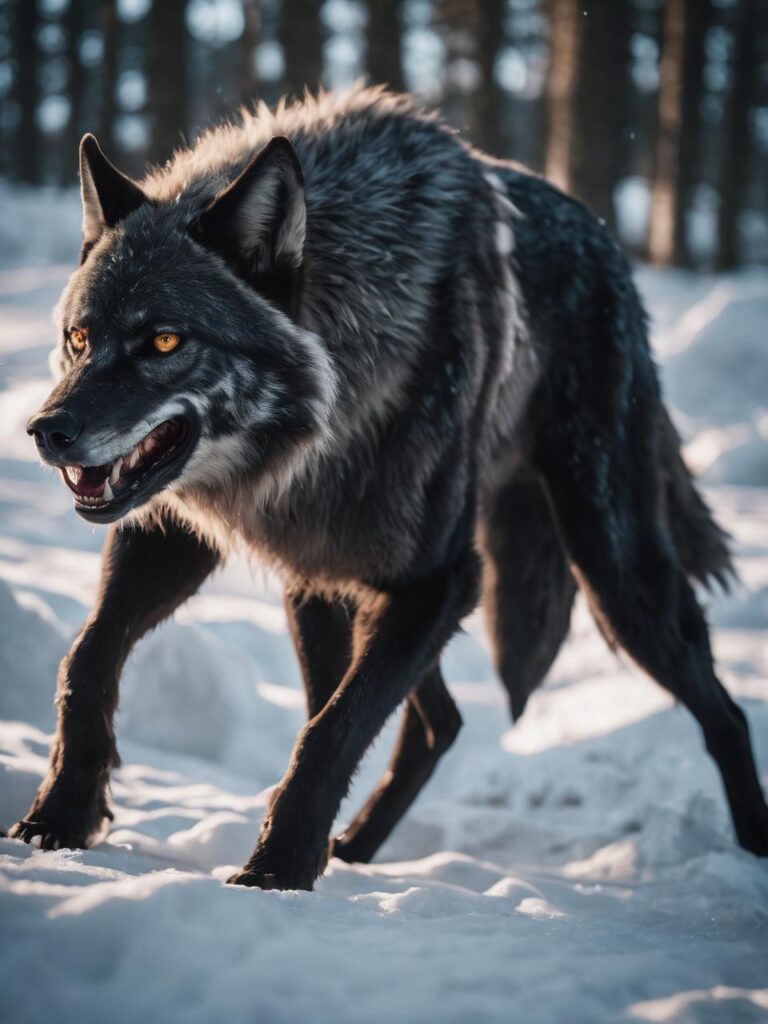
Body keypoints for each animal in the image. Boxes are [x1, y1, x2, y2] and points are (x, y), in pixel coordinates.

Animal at [10, 87, 768, 888]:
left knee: (723, 712)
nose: (45, 431)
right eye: (80, 339)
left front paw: (277, 870)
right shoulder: (174, 534)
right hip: (328, 582)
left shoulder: (441, 583)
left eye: (163, 341)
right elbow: (87, 657)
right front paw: (61, 815)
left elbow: (332, 731)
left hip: (612, 576)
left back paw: (751, 848)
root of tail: (607, 244)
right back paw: (354, 850)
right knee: (437, 722)